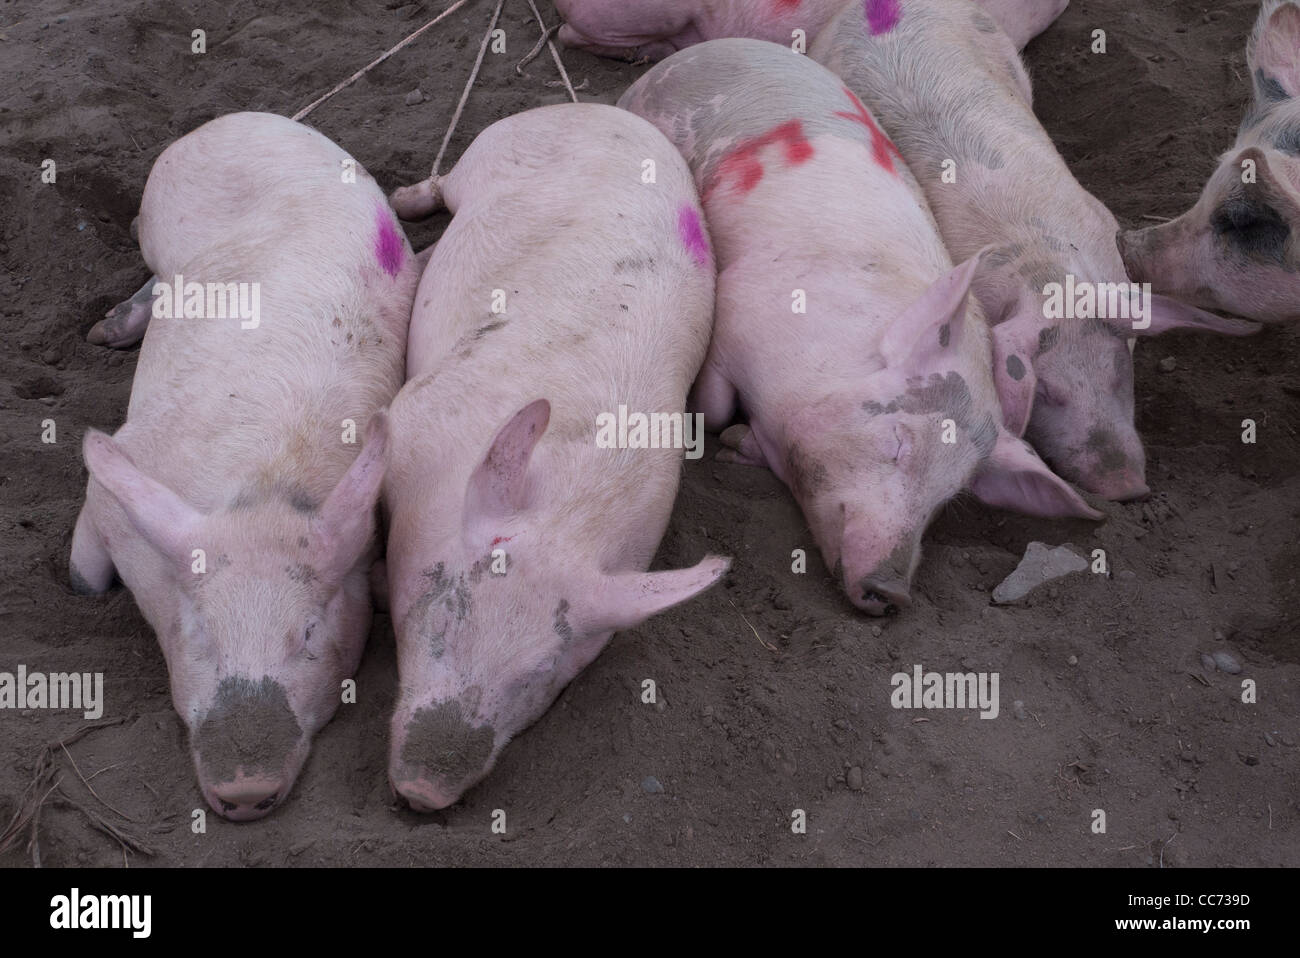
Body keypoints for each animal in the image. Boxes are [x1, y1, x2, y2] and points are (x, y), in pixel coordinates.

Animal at [70, 112, 421, 820]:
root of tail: (244, 119)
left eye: (308, 632)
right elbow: (84, 579)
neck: (263, 491)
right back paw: (103, 333)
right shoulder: (118, 481)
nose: (245, 790)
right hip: (162, 212)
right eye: (201, 631)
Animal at [383, 102, 728, 810]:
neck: (577, 508)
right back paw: (404, 198)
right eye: (447, 602)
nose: (425, 791)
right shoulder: (413, 414)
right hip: (493, 150)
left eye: (546, 673)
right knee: (444, 182)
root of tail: (603, 109)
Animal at [619, 38, 1102, 616]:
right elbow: (712, 405)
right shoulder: (736, 307)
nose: (892, 591)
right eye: (897, 443)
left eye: (947, 497)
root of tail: (702, 49)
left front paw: (741, 444)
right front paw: (730, 438)